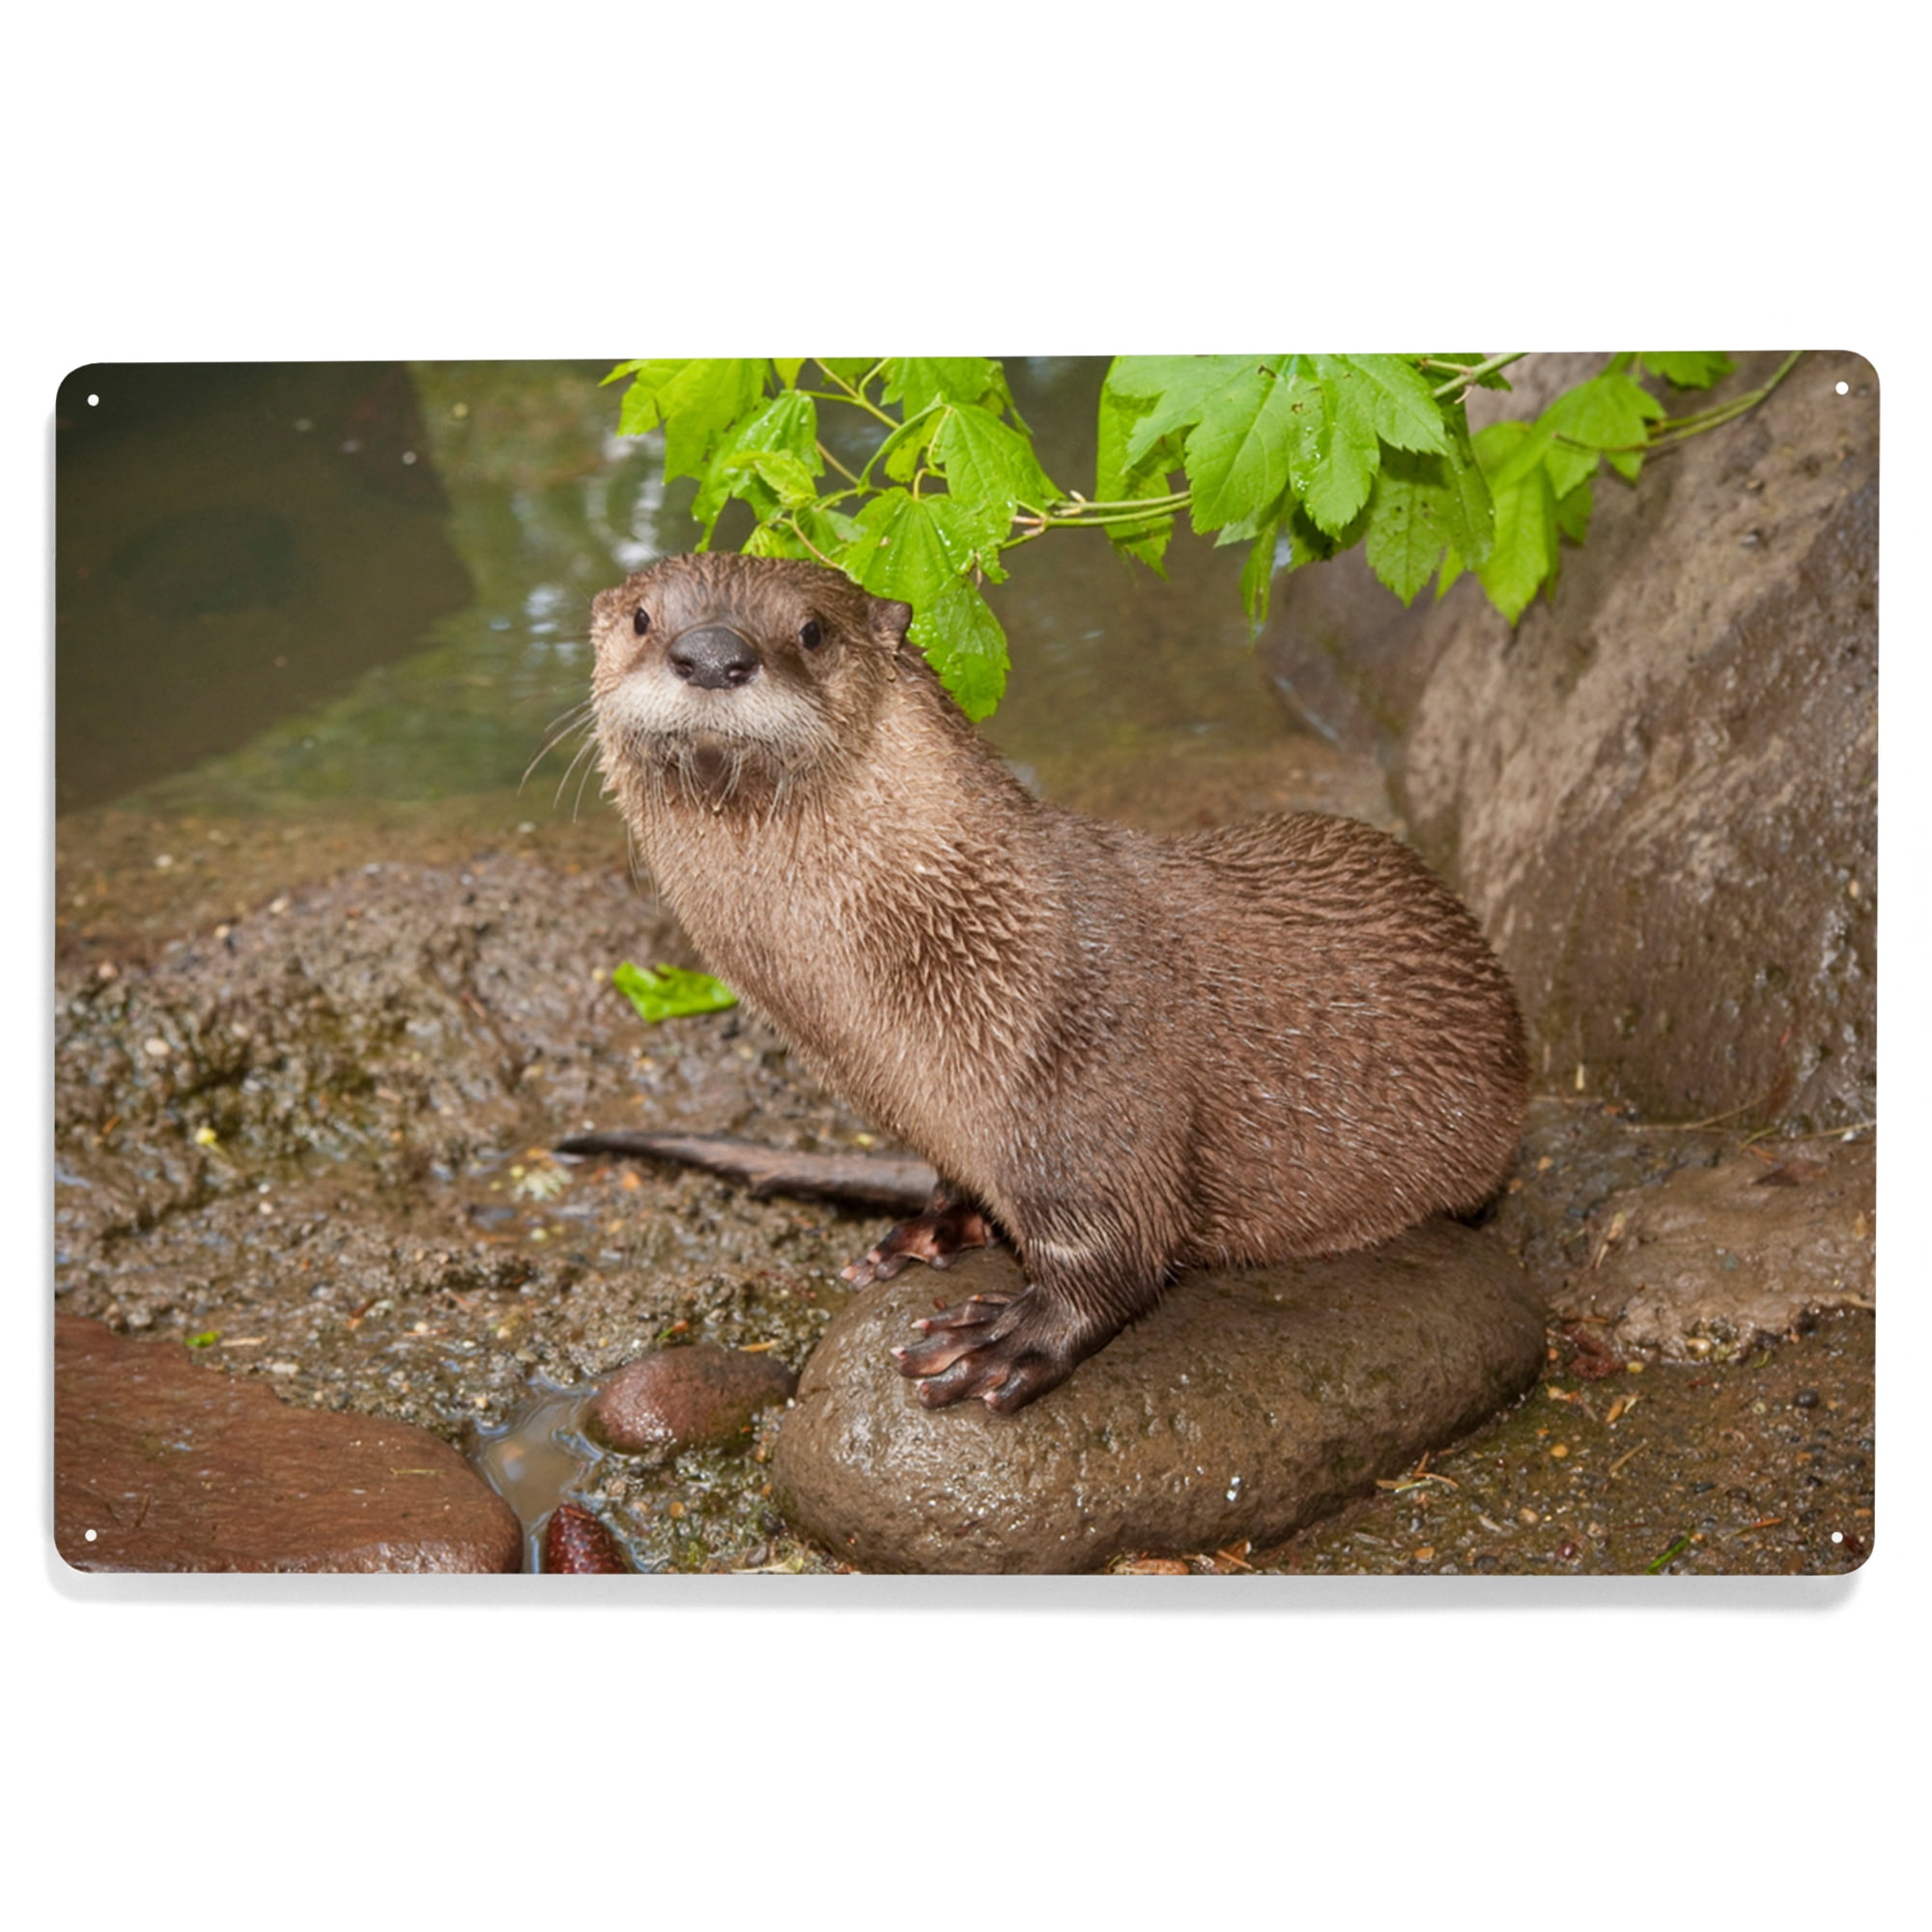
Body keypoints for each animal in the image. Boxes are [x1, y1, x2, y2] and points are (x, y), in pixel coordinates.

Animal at [590, 553, 1528, 1414]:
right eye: (642, 618)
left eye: (813, 631)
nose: (713, 653)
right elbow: (966, 1182)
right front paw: (934, 1224)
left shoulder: (1085, 1074)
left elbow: (1122, 1249)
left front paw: (1012, 1337)